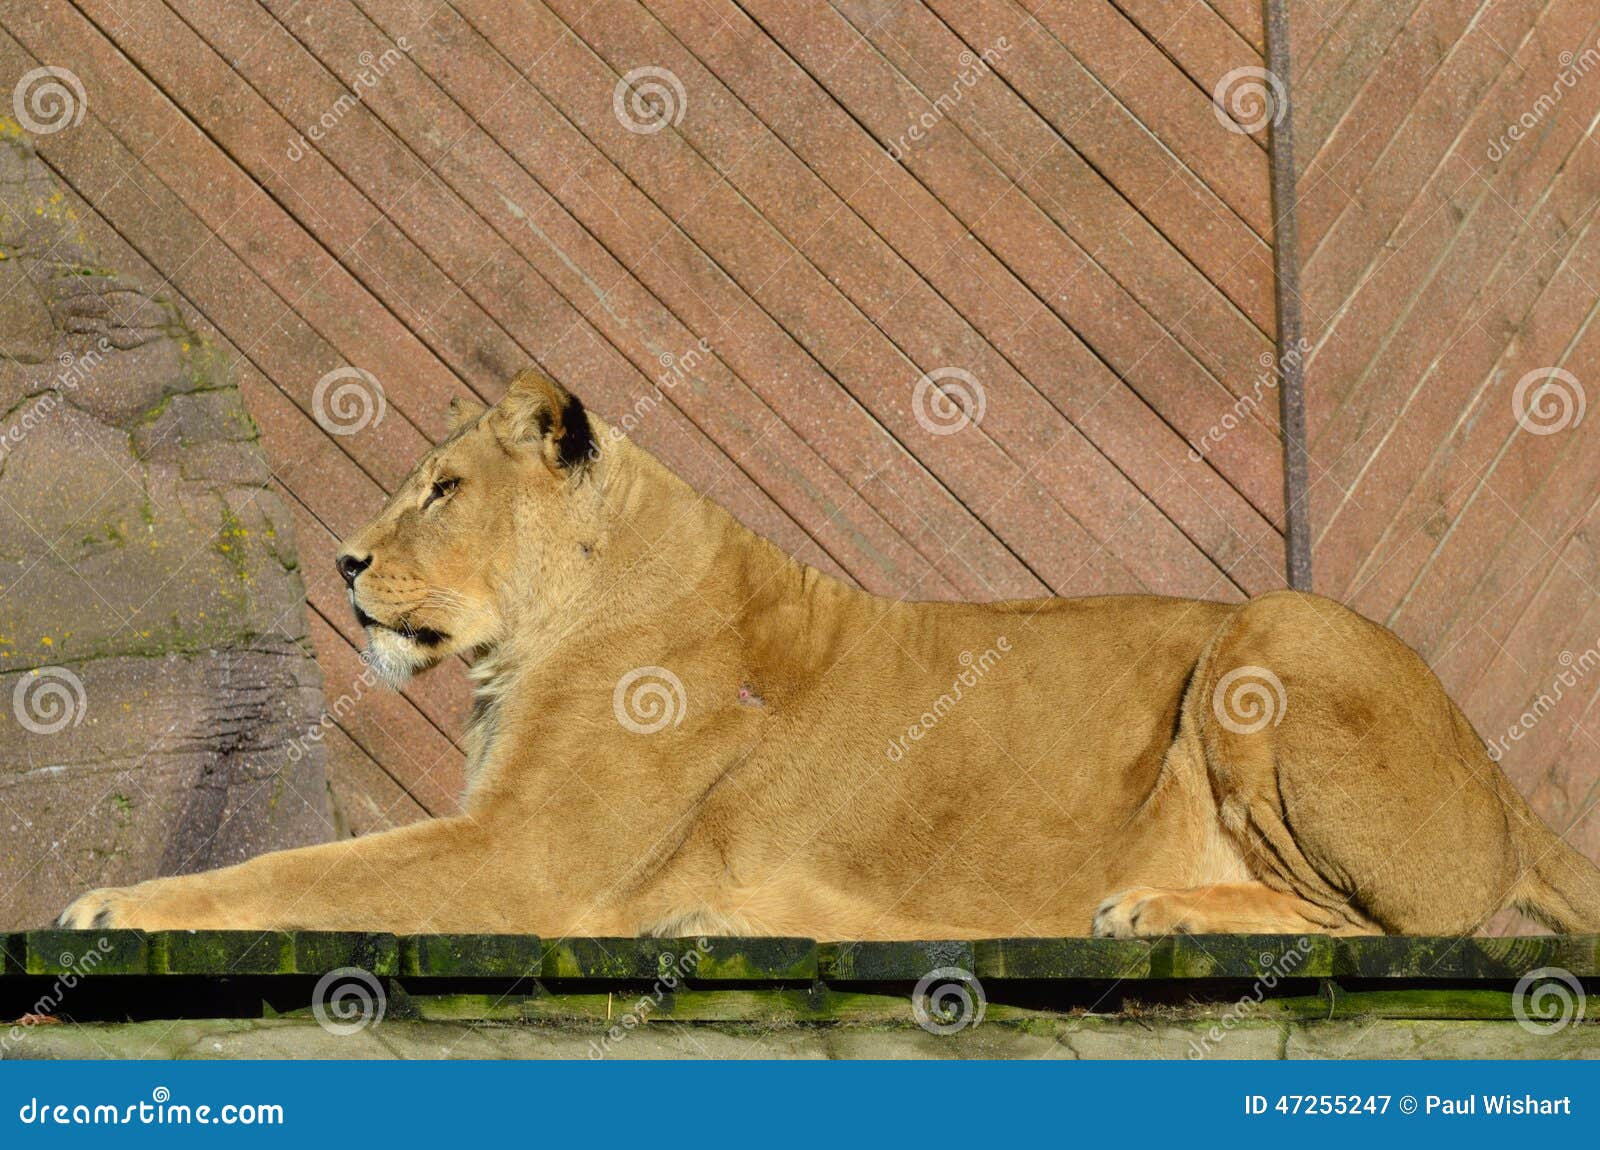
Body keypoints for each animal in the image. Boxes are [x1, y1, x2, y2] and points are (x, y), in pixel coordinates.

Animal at [59, 370, 1600, 939]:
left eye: (439, 487)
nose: (341, 564)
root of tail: (1497, 771)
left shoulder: (527, 862)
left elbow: (298, 869)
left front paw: (115, 904)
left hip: (1273, 627)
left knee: (1402, 929)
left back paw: (1151, 910)